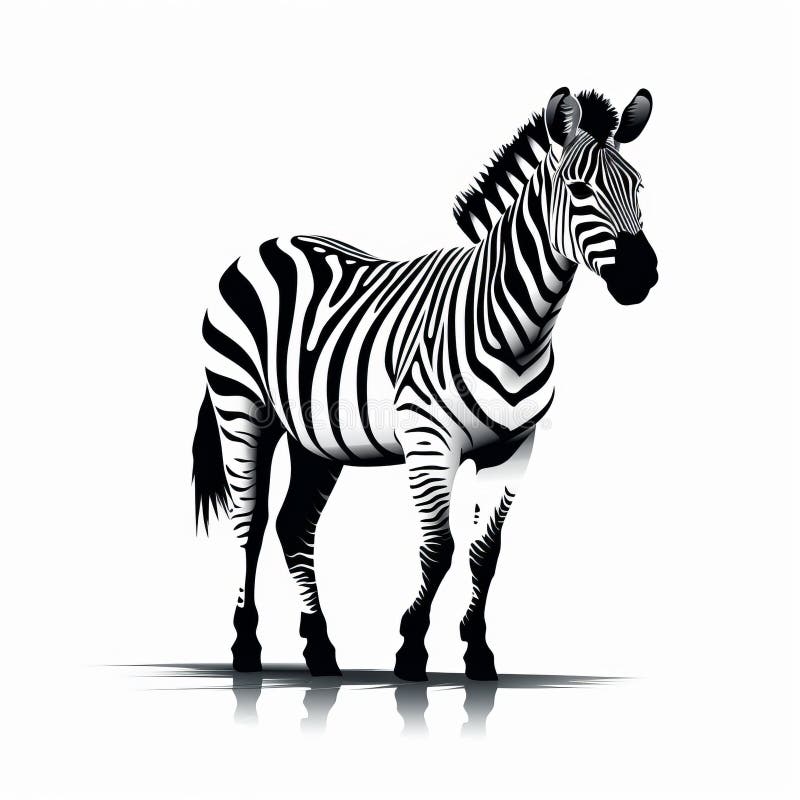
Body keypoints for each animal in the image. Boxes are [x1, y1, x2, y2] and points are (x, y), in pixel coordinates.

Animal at [192, 87, 657, 681]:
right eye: (578, 189)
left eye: (639, 186)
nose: (643, 275)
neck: (515, 326)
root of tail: (266, 243)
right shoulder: (430, 443)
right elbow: (439, 549)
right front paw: (411, 648)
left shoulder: (513, 448)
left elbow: (485, 553)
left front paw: (478, 651)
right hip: (242, 408)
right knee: (249, 525)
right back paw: (246, 647)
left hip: (313, 437)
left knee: (294, 526)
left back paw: (320, 649)